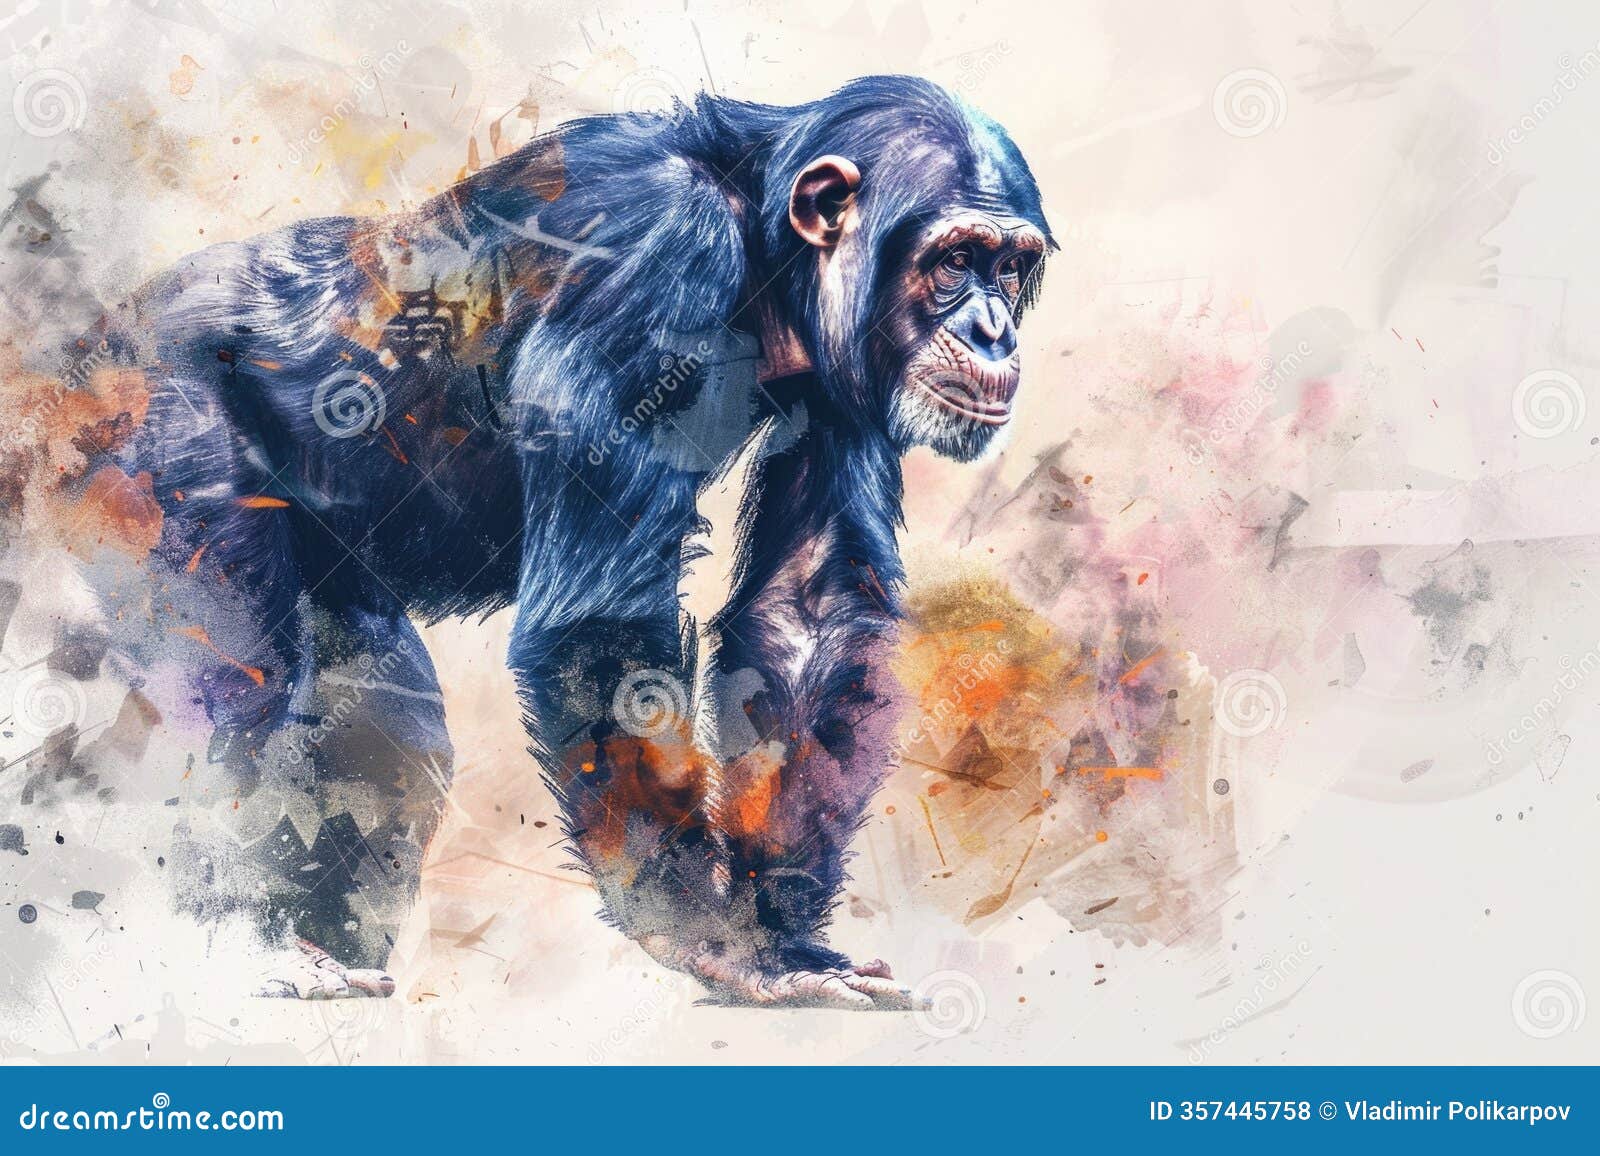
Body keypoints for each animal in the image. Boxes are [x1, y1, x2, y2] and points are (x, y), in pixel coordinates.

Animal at [80, 74, 1052, 1007]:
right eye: (955, 261)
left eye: (1011, 267)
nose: (995, 331)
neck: (760, 240)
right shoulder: (657, 262)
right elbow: (599, 629)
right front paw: (708, 936)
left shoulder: (844, 382)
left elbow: (807, 608)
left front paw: (775, 936)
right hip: (153, 440)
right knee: (234, 691)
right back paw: (236, 946)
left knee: (391, 735)